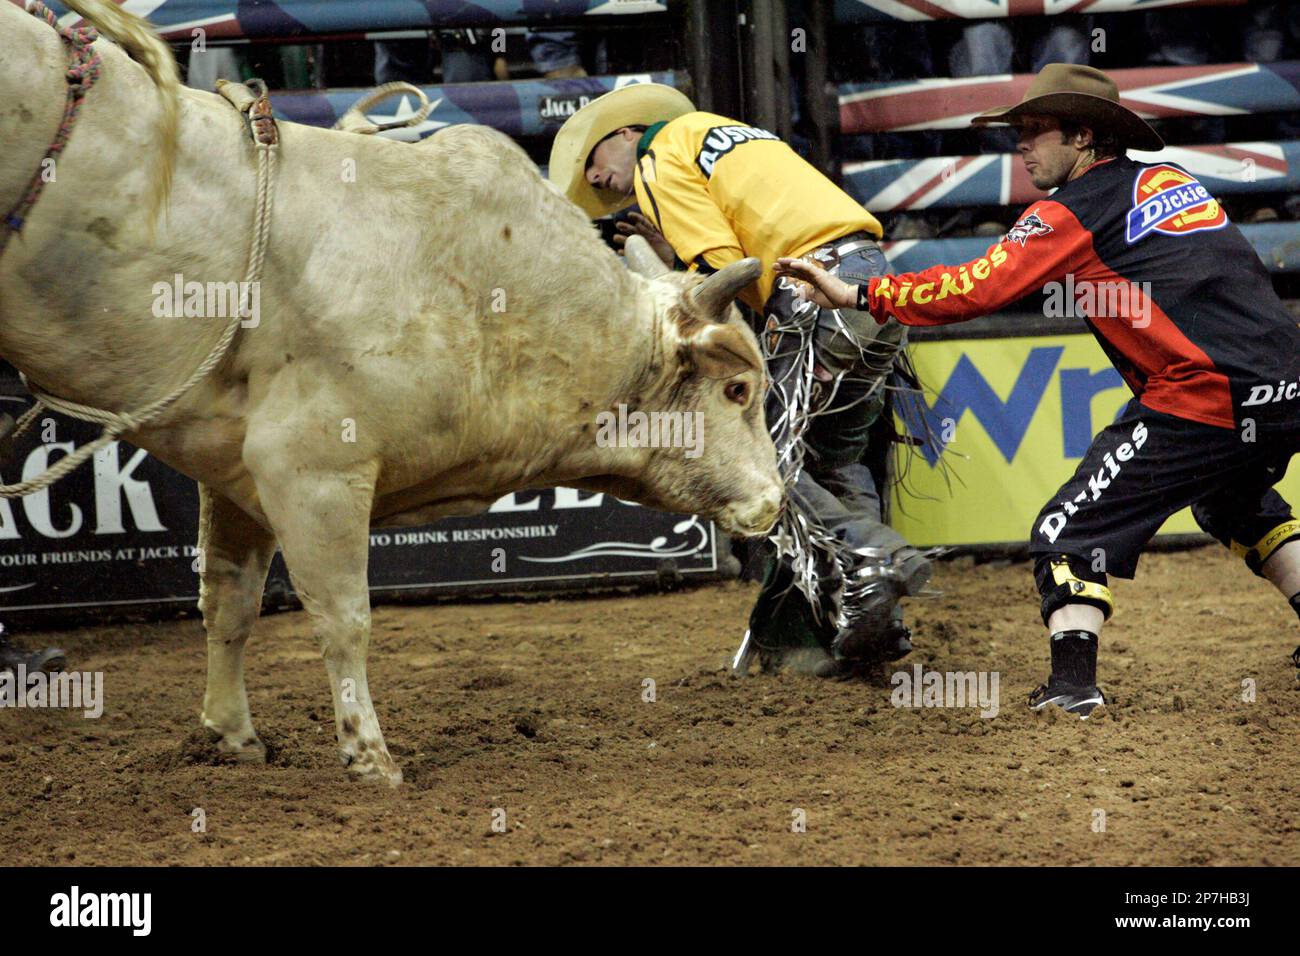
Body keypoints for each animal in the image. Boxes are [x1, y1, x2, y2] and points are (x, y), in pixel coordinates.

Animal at [0, 0, 783, 785]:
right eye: (739, 388)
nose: (774, 500)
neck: (487, 285)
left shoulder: (232, 473)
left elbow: (229, 601)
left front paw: (233, 735)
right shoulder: (311, 466)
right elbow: (344, 616)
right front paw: (369, 756)